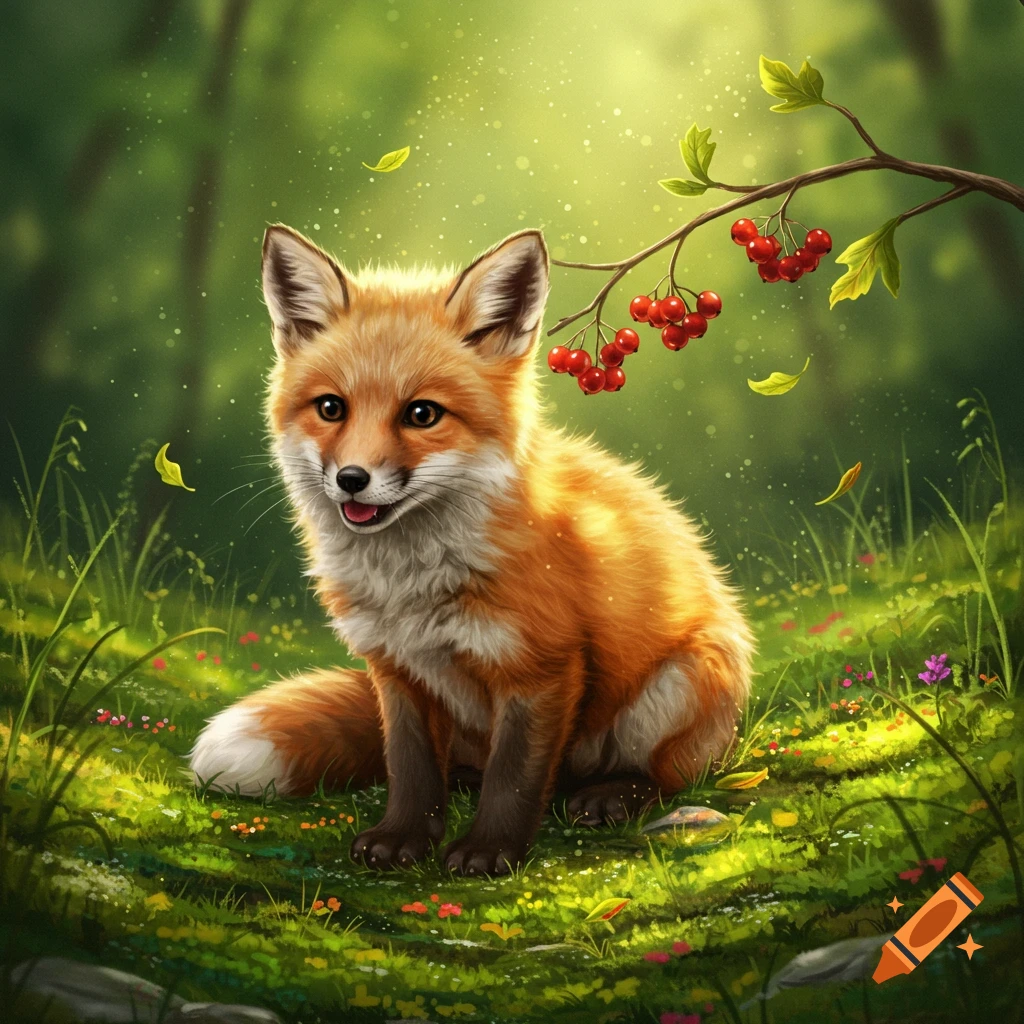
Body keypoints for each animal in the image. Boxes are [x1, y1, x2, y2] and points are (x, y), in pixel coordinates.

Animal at [189, 223, 754, 876]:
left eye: (422, 414)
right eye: (331, 407)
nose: (351, 479)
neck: (413, 584)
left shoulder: (542, 668)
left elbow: (514, 778)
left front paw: (489, 851)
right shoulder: (395, 670)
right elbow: (408, 768)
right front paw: (403, 838)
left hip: (678, 686)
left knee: (665, 775)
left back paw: (612, 795)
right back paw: (464, 779)